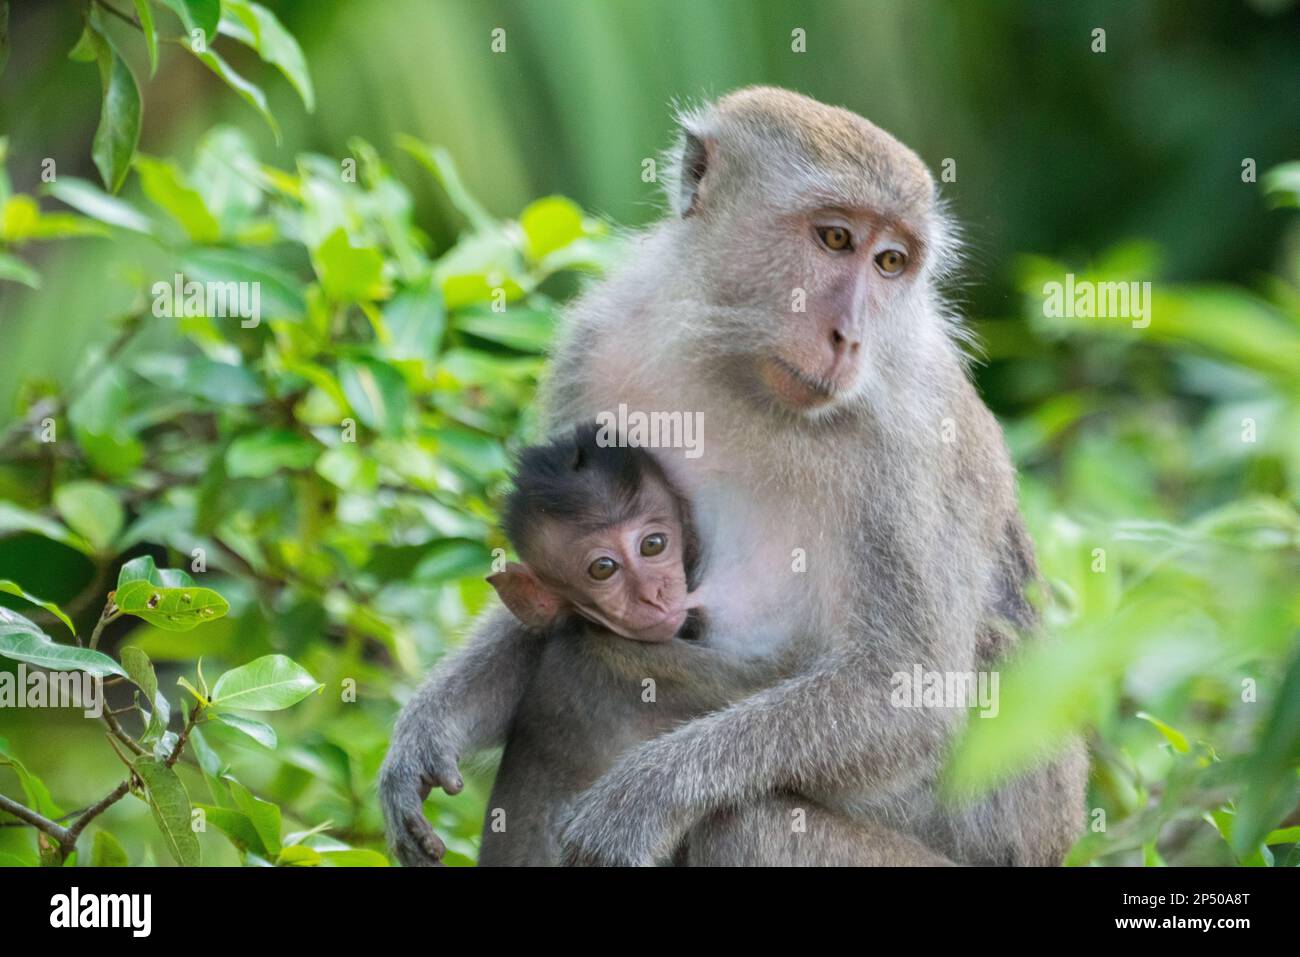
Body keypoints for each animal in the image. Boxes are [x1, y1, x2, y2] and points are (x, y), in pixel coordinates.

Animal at [381, 86, 1087, 867]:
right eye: (835, 240)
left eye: (891, 262)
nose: (850, 337)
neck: (740, 371)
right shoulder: (599, 341)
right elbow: (547, 599)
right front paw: (425, 730)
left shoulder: (912, 441)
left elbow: (908, 695)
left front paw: (646, 797)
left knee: (736, 818)